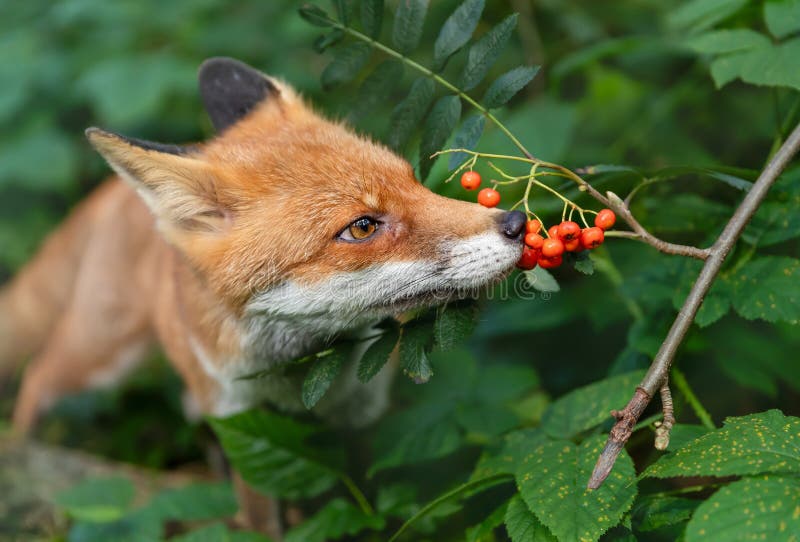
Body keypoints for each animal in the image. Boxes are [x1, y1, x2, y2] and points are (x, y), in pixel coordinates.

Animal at [0, 57, 525, 531]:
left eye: (414, 181)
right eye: (362, 227)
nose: (518, 223)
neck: (295, 377)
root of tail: (111, 197)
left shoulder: (361, 414)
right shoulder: (240, 419)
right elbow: (264, 522)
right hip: (99, 357)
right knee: (38, 376)